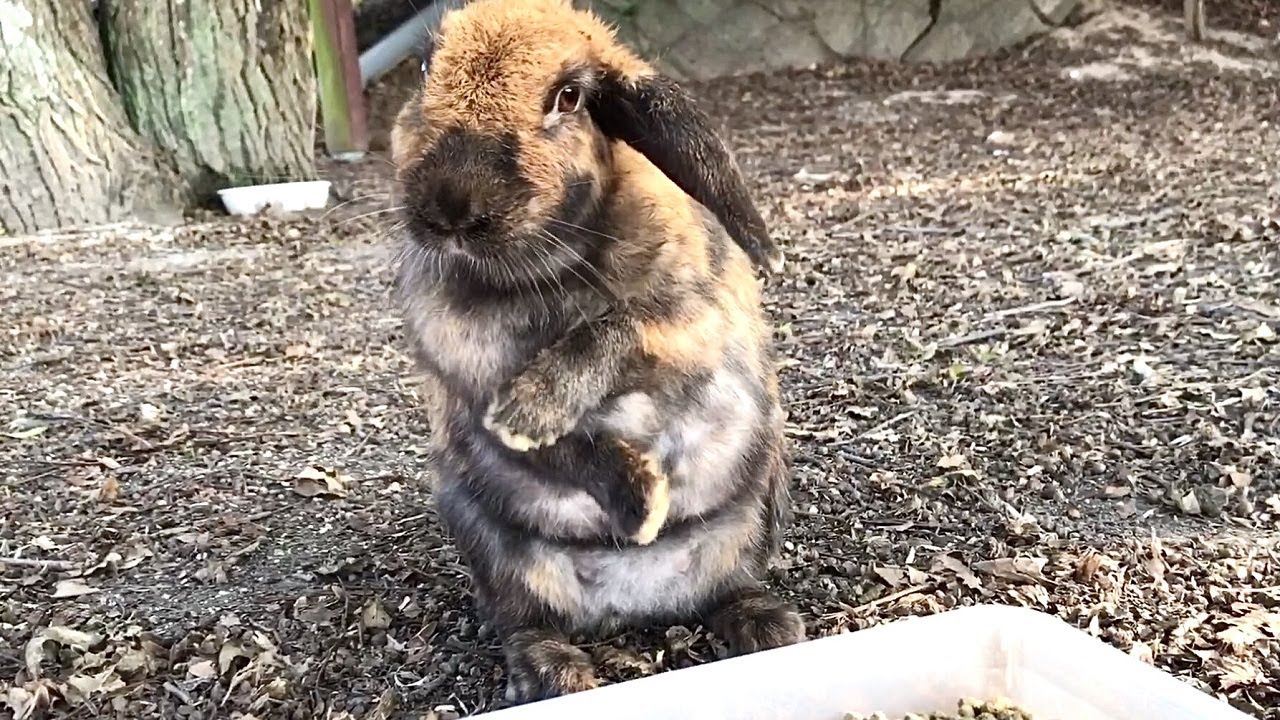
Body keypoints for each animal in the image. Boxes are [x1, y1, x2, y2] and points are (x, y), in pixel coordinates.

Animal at [388, 0, 804, 705]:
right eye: (423, 69)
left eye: (569, 96)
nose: (450, 208)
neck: (543, 273)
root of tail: (637, 603)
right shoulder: (464, 392)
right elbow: (560, 448)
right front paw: (641, 503)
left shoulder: (694, 320)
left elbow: (619, 328)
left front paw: (533, 407)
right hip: (483, 538)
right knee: (521, 621)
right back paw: (556, 673)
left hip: (760, 501)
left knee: (730, 590)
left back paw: (770, 627)